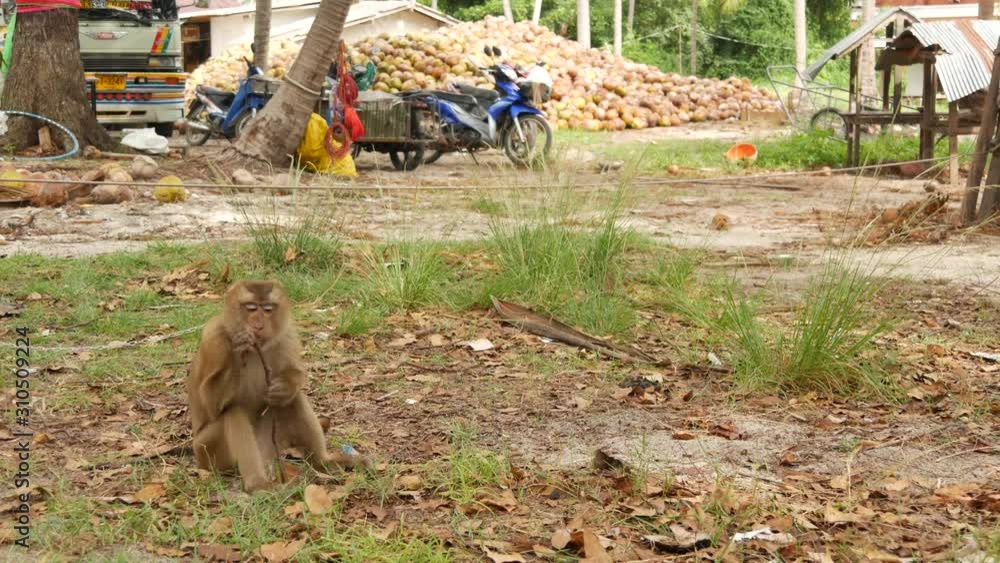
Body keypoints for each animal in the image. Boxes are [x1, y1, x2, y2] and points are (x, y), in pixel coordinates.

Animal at [187, 280, 364, 492]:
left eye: (268, 309)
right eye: (251, 308)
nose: (258, 324)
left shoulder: (287, 333)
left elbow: (295, 373)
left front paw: (284, 387)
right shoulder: (212, 339)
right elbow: (210, 403)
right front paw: (238, 350)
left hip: (269, 445)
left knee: (293, 400)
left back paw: (323, 462)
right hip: (207, 452)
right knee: (233, 412)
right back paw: (257, 483)